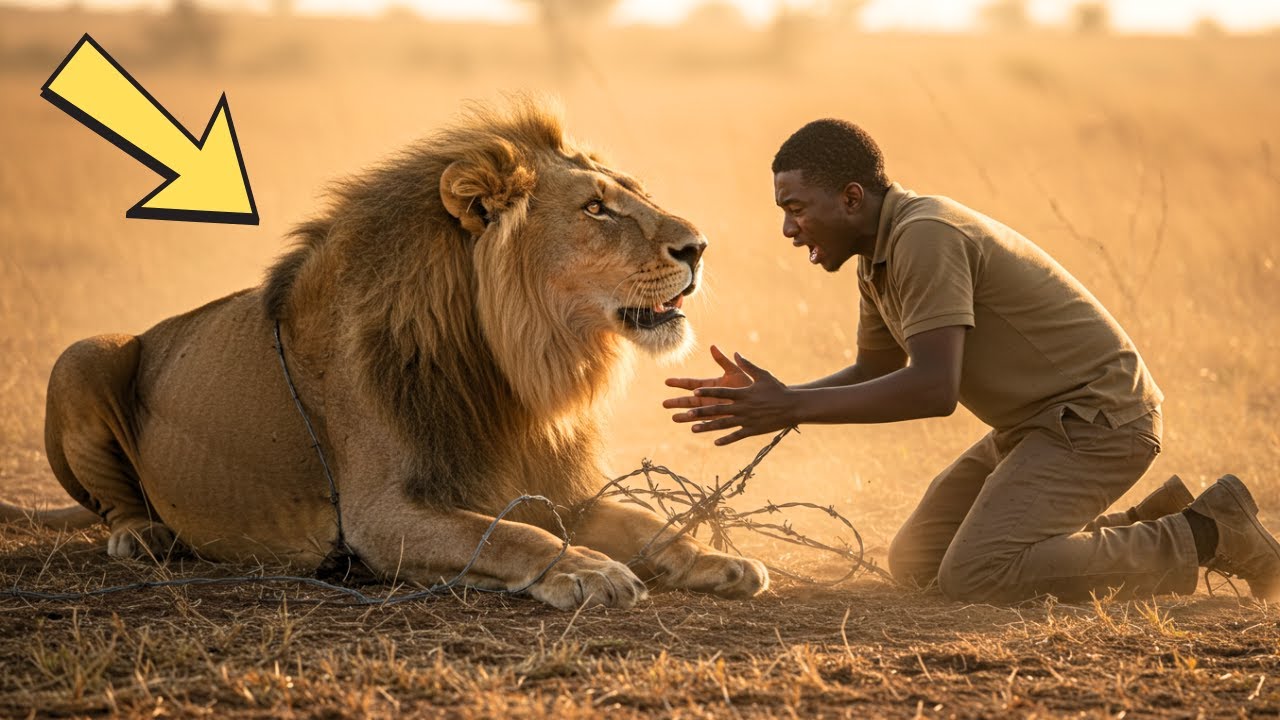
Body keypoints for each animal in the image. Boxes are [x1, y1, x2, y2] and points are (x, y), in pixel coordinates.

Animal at [2, 99, 768, 610]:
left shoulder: (550, 483)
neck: (514, 368)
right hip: (83, 353)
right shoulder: (377, 515)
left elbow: (644, 521)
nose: (699, 246)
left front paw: (717, 559)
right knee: (114, 503)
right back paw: (144, 537)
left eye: (635, 195)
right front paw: (589, 570)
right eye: (595, 209)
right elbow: (508, 536)